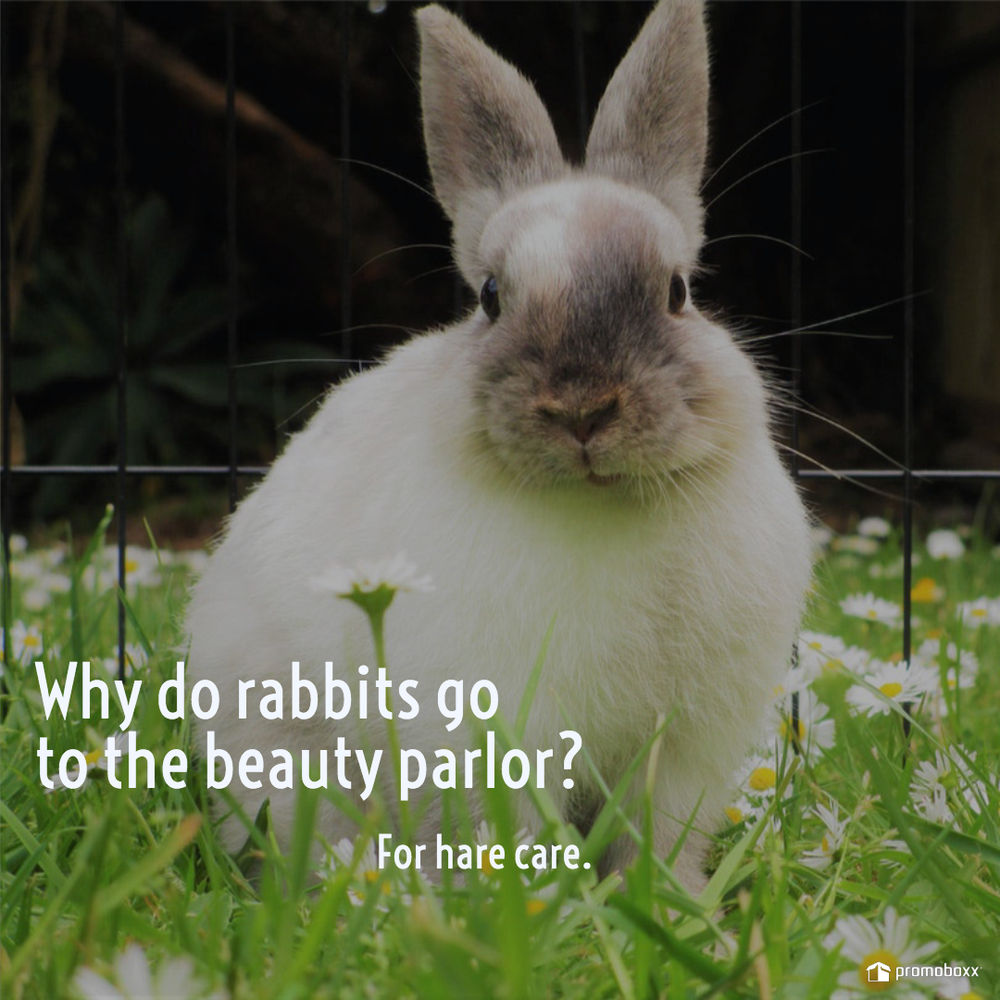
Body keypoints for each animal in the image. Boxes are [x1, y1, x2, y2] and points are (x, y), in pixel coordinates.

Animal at [185, 0, 812, 893]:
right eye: (488, 297)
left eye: (678, 291)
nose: (582, 408)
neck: (599, 503)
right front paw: (536, 903)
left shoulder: (683, 748)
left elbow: (656, 837)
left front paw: (671, 904)